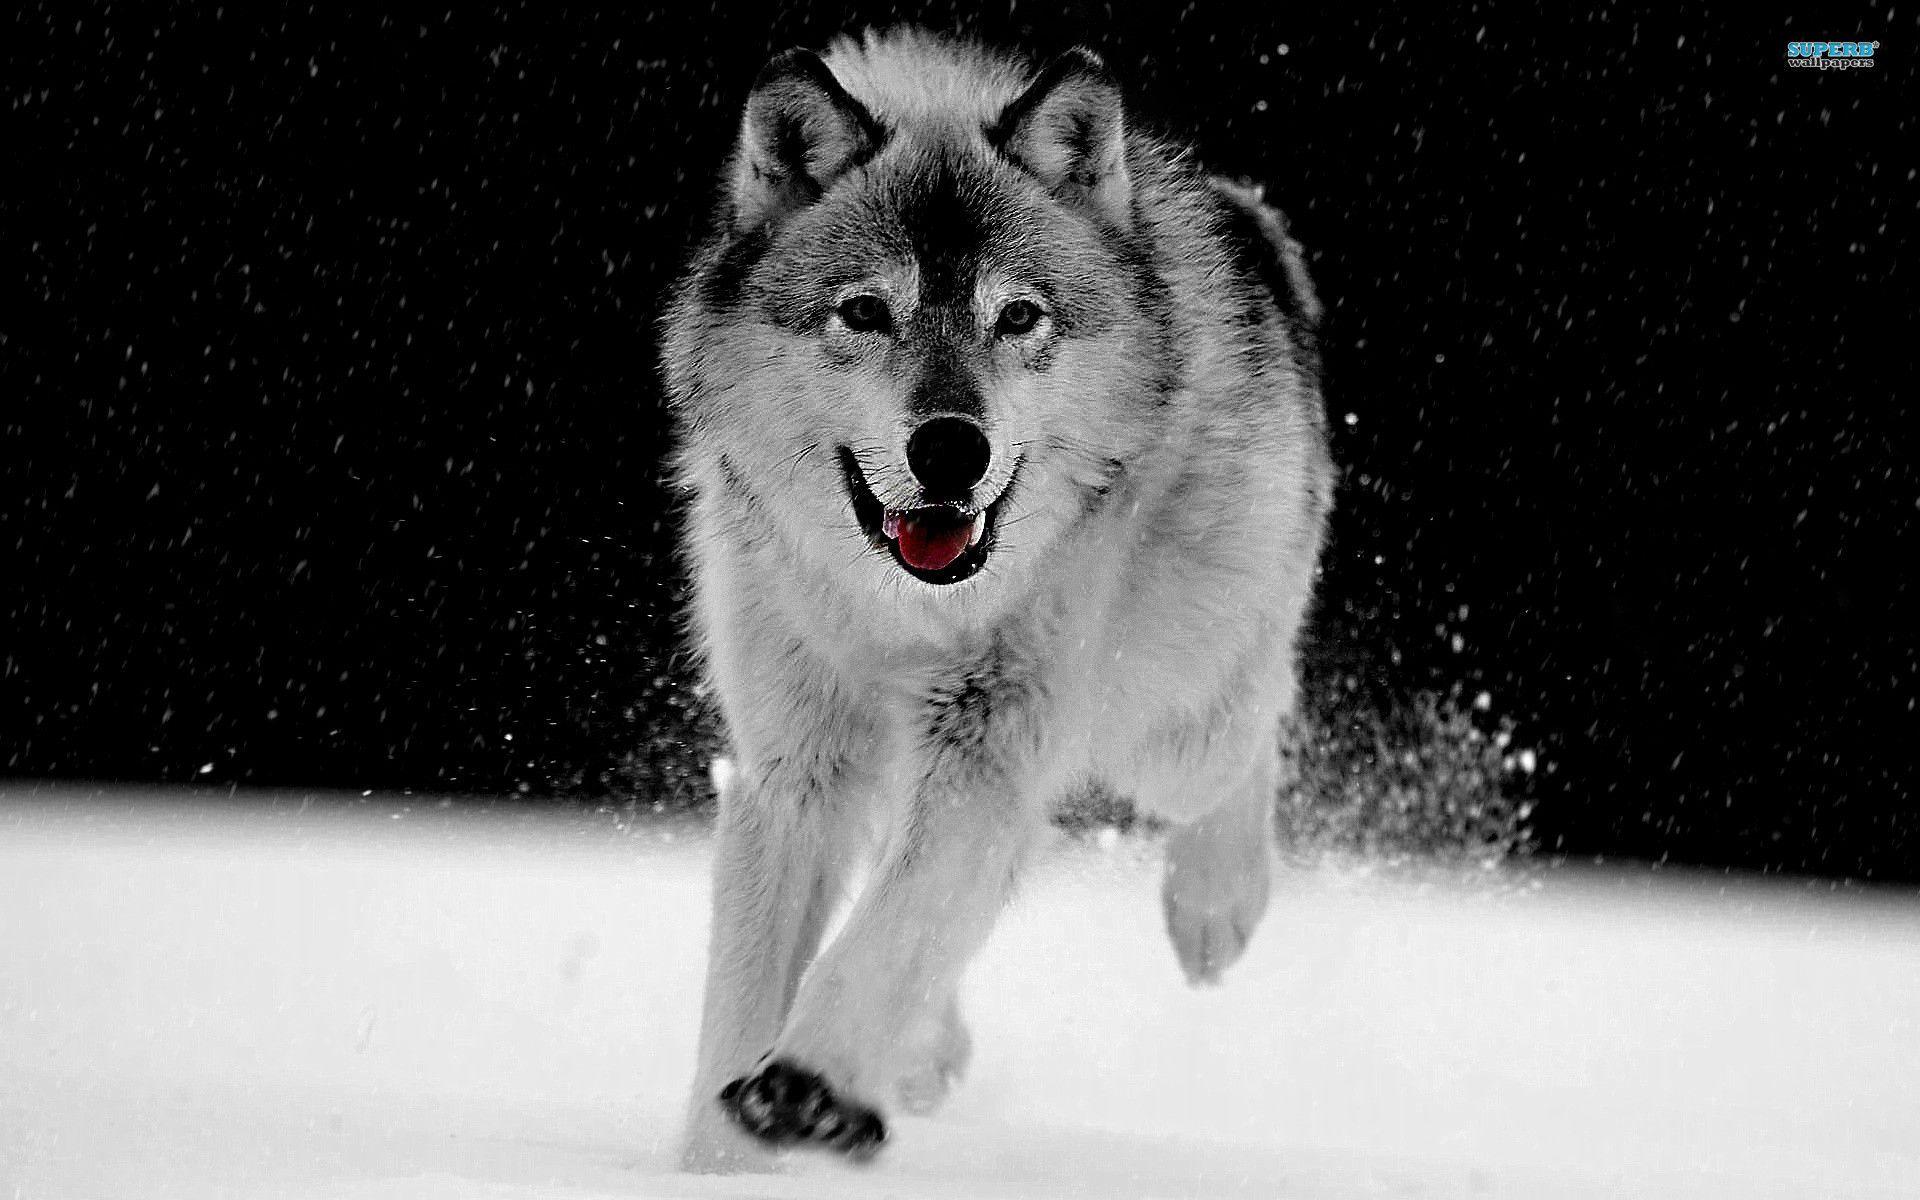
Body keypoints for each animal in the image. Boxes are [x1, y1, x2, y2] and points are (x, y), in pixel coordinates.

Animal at [660, 29, 1333, 1170]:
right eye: (865, 312)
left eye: (1018, 317)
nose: (951, 448)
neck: (902, 616)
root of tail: (1248, 216)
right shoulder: (793, 769)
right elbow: (748, 997)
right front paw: (723, 1162)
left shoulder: (992, 742)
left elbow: (888, 933)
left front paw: (806, 1084)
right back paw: (925, 1054)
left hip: (1168, 725)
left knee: (1253, 720)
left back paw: (1215, 908)